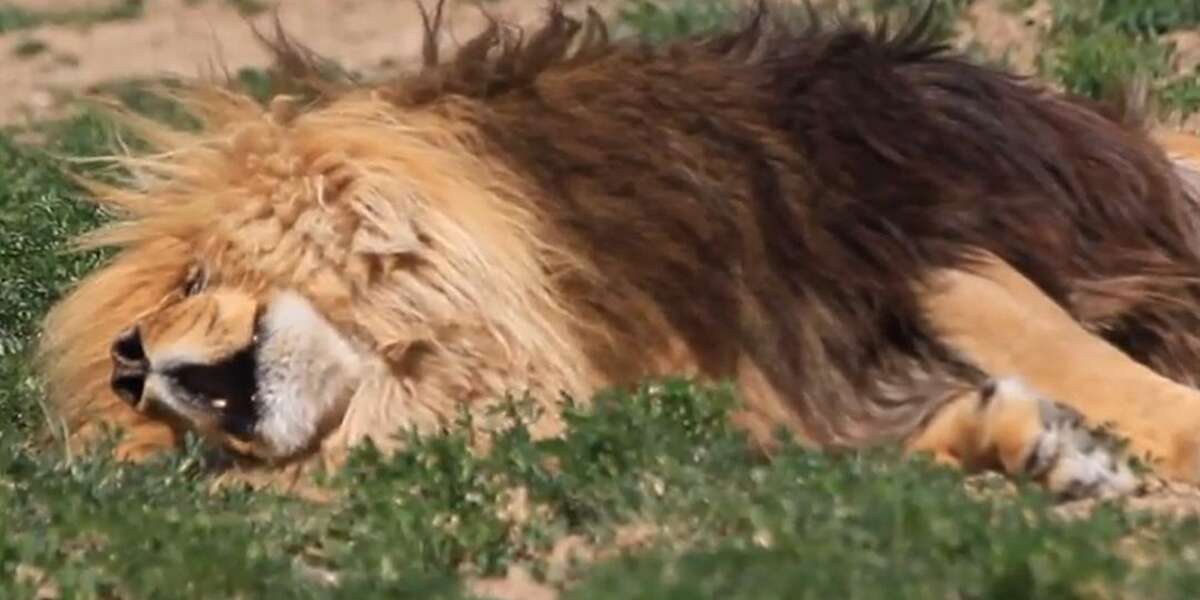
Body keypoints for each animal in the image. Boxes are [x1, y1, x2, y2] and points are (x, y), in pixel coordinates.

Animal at [32, 1, 1200, 499]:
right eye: (150, 421)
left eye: (195, 276)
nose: (129, 363)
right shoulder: (766, 388)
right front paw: (1042, 449)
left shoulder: (910, 240)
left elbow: (1082, 363)